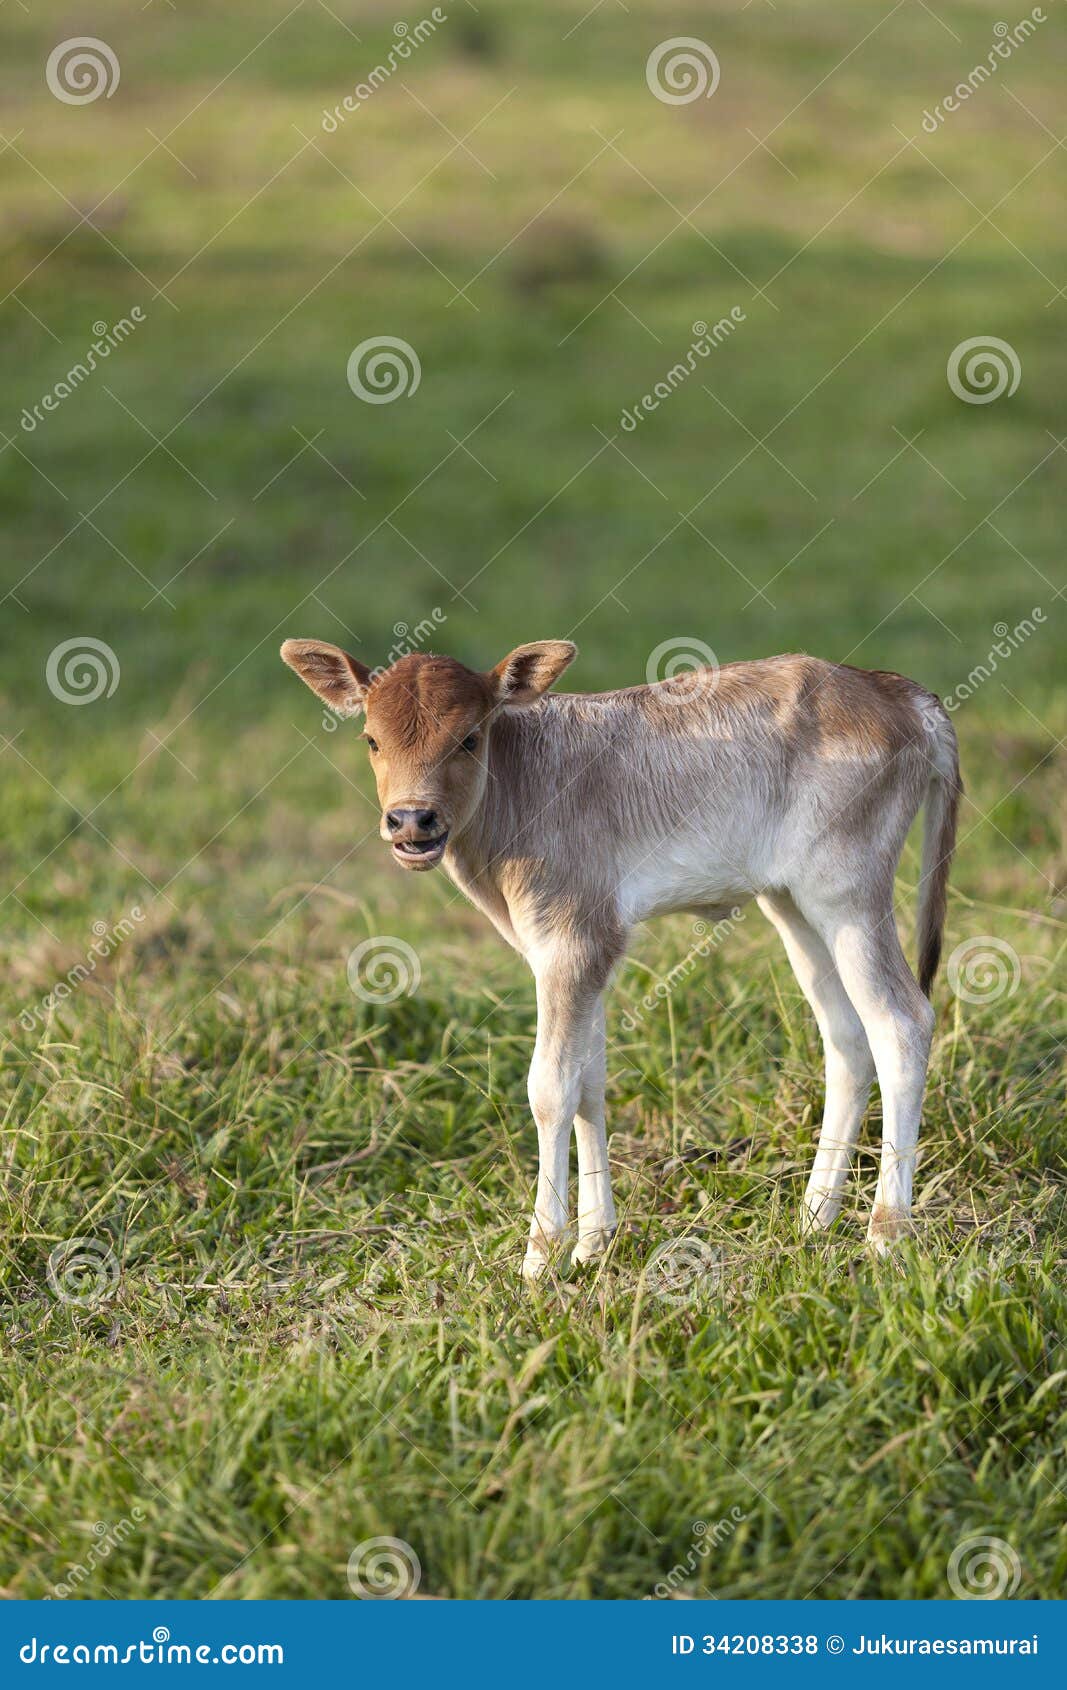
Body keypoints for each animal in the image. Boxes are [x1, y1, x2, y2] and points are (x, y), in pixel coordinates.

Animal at [281, 637, 961, 1280]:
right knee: (846, 1036)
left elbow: (551, 1087)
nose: (411, 821)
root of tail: (896, 692)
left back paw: (885, 1233)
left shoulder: (569, 941)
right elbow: (589, 1082)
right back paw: (814, 1218)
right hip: (793, 903)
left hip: (848, 893)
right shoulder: (589, 949)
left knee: (902, 1022)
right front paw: (592, 1245)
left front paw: (540, 1256)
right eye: (371, 739)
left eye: (469, 738)